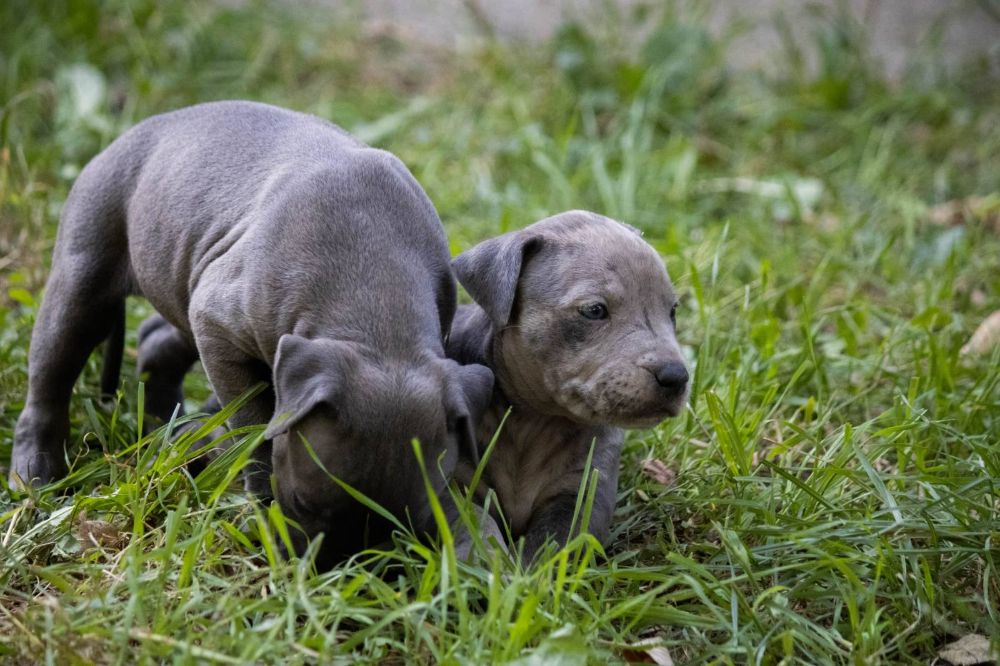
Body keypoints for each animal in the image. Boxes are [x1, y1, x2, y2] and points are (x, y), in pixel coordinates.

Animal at [7, 100, 492, 560]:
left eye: (411, 517)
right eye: (300, 502)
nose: (323, 569)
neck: (374, 310)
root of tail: (134, 132)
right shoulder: (219, 329)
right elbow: (253, 425)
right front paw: (256, 495)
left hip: (183, 282)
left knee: (157, 343)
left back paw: (166, 426)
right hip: (85, 276)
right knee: (50, 377)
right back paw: (36, 474)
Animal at [446, 209, 688, 560]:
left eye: (672, 311)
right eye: (594, 310)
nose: (676, 376)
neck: (531, 421)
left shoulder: (582, 493)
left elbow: (553, 546)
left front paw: (530, 572)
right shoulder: (452, 485)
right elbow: (474, 525)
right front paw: (492, 564)